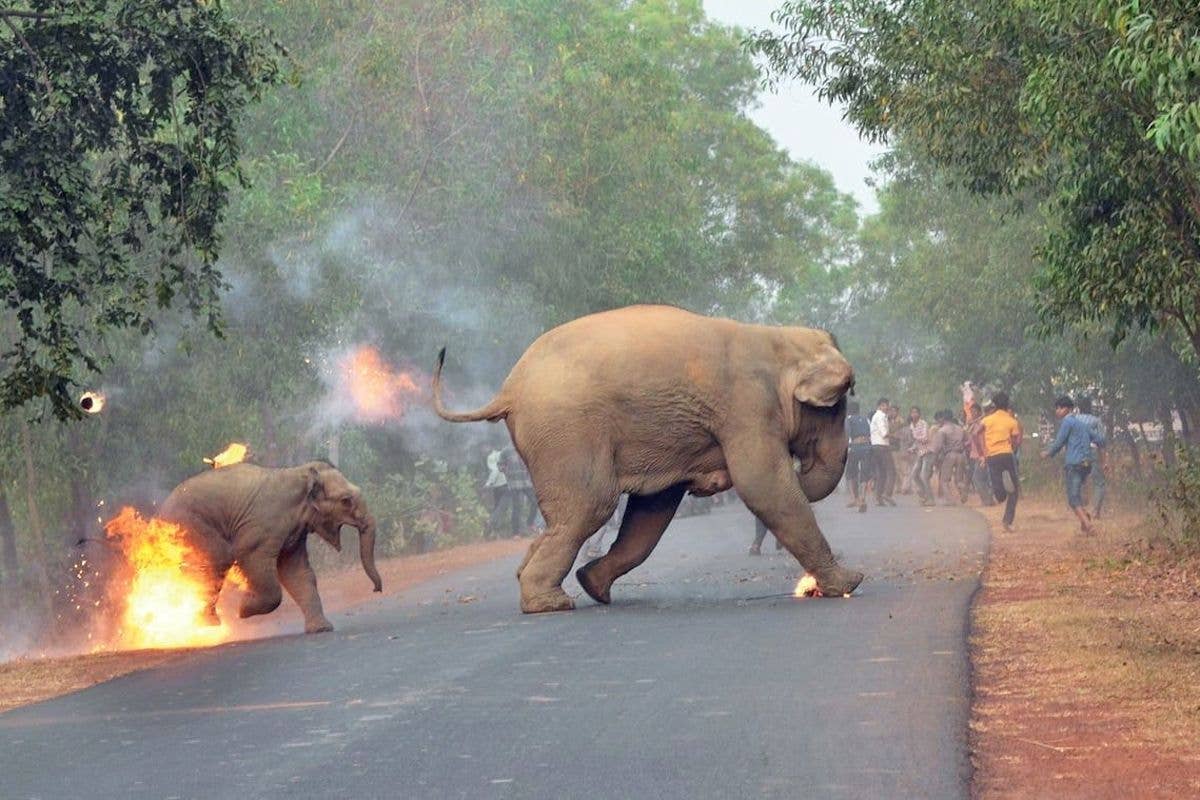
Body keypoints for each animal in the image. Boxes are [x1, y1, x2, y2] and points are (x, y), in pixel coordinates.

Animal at [157, 460, 382, 633]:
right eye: (346, 501)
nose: (376, 590)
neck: (301, 473)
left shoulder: (295, 534)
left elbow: (297, 572)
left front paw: (322, 629)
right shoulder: (262, 527)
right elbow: (252, 558)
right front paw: (243, 609)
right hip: (191, 525)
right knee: (217, 561)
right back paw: (207, 625)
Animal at [432, 304, 863, 614]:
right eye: (837, 407)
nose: (801, 466)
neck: (777, 338)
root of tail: (509, 389)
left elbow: (653, 509)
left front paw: (593, 583)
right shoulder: (747, 407)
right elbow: (763, 485)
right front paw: (850, 583)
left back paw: (558, 586)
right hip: (566, 431)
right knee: (592, 505)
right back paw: (549, 604)